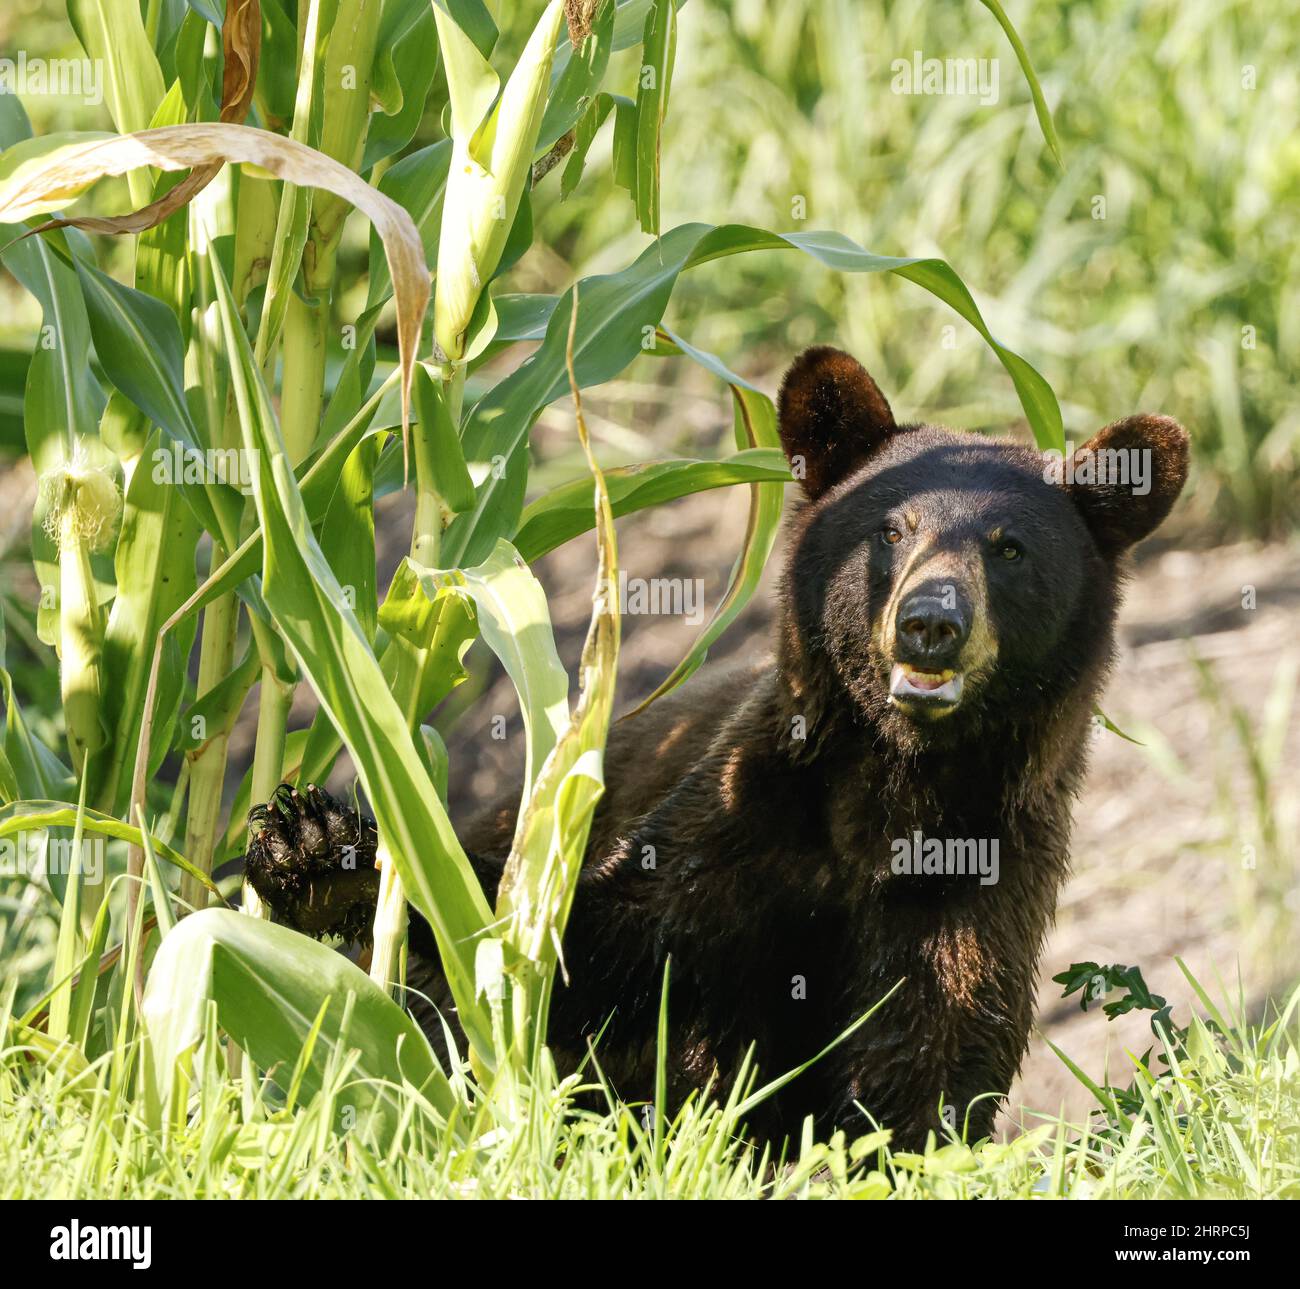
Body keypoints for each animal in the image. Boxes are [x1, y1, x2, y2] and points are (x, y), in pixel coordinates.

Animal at [244, 346, 1190, 1149]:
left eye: (1009, 547)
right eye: (891, 528)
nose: (931, 622)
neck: (888, 799)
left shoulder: (978, 880)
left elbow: (929, 1062)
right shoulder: (727, 825)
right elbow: (553, 946)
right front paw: (317, 851)